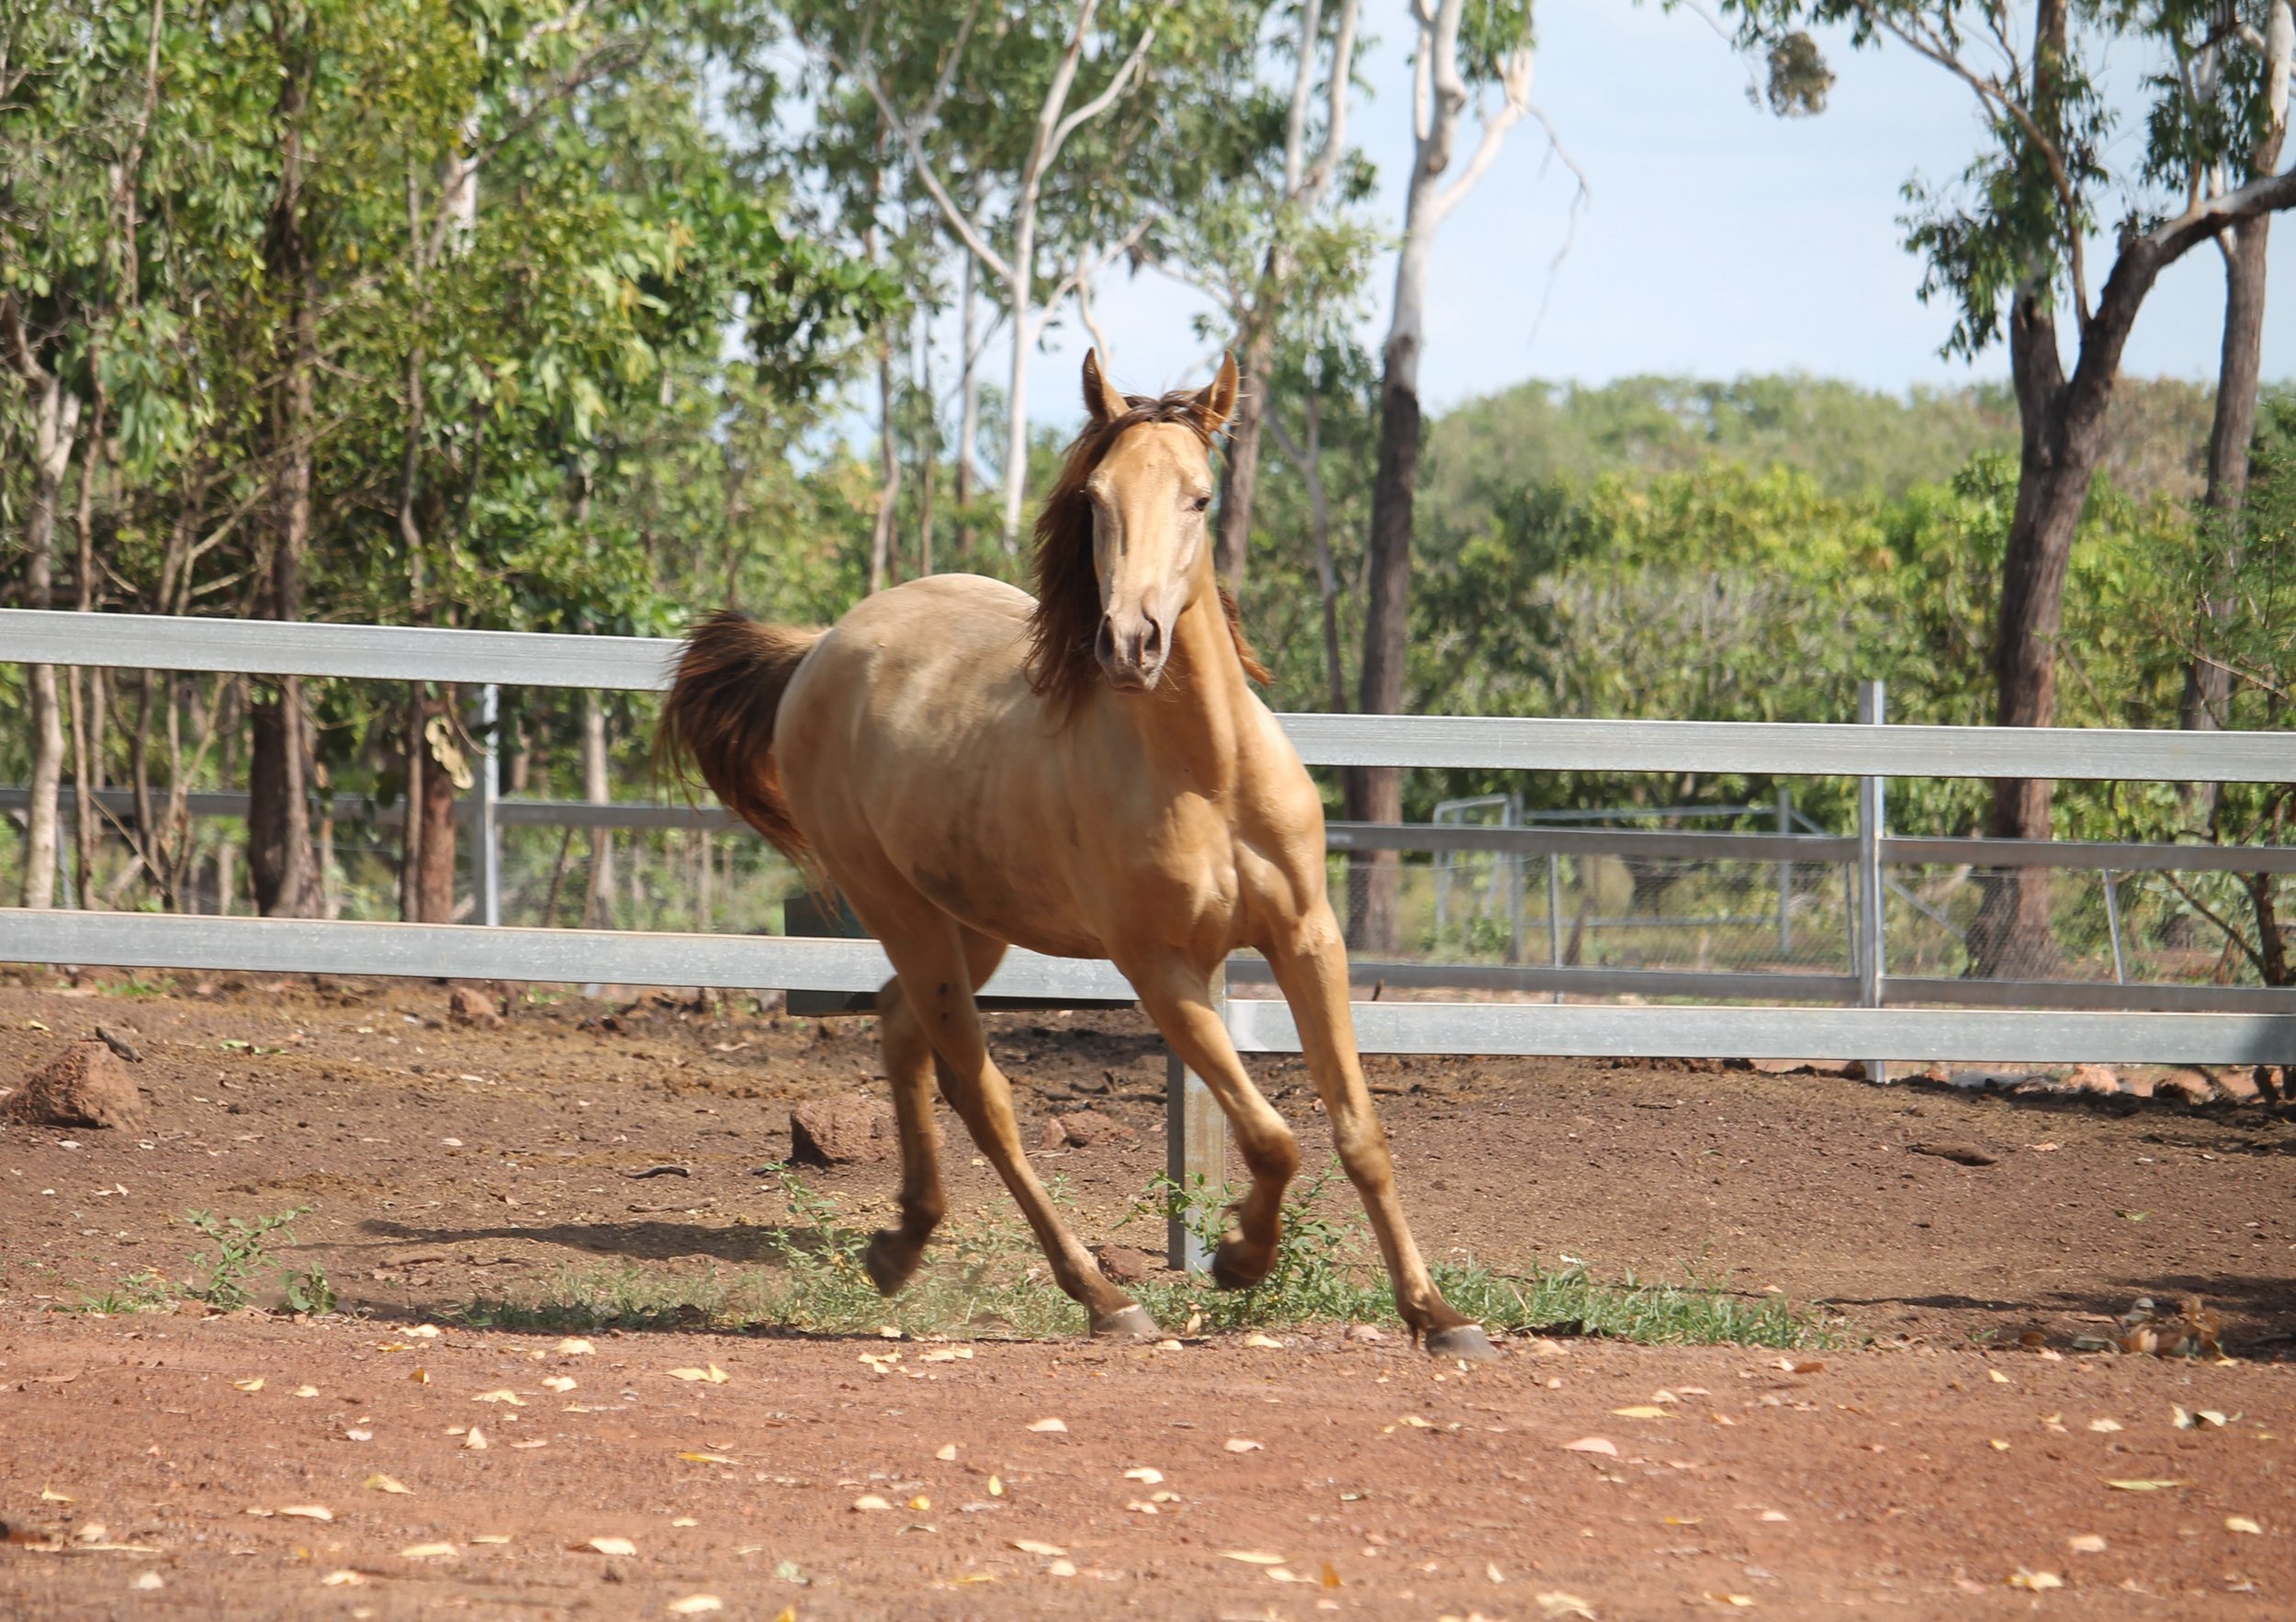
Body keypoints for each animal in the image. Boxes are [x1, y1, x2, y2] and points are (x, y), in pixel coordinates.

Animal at [662, 349, 1493, 1361]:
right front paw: (1238, 1258)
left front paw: (1437, 1314)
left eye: (1200, 496)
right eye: (1095, 497)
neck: (1206, 775)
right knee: (982, 1094)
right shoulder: (1162, 968)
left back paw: (902, 1243)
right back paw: (1101, 1296)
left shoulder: (1308, 937)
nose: (1130, 642)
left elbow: (1357, 1132)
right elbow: (1272, 1138)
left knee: (902, 1026)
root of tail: (822, 647)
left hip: (969, 924)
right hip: (902, 913)